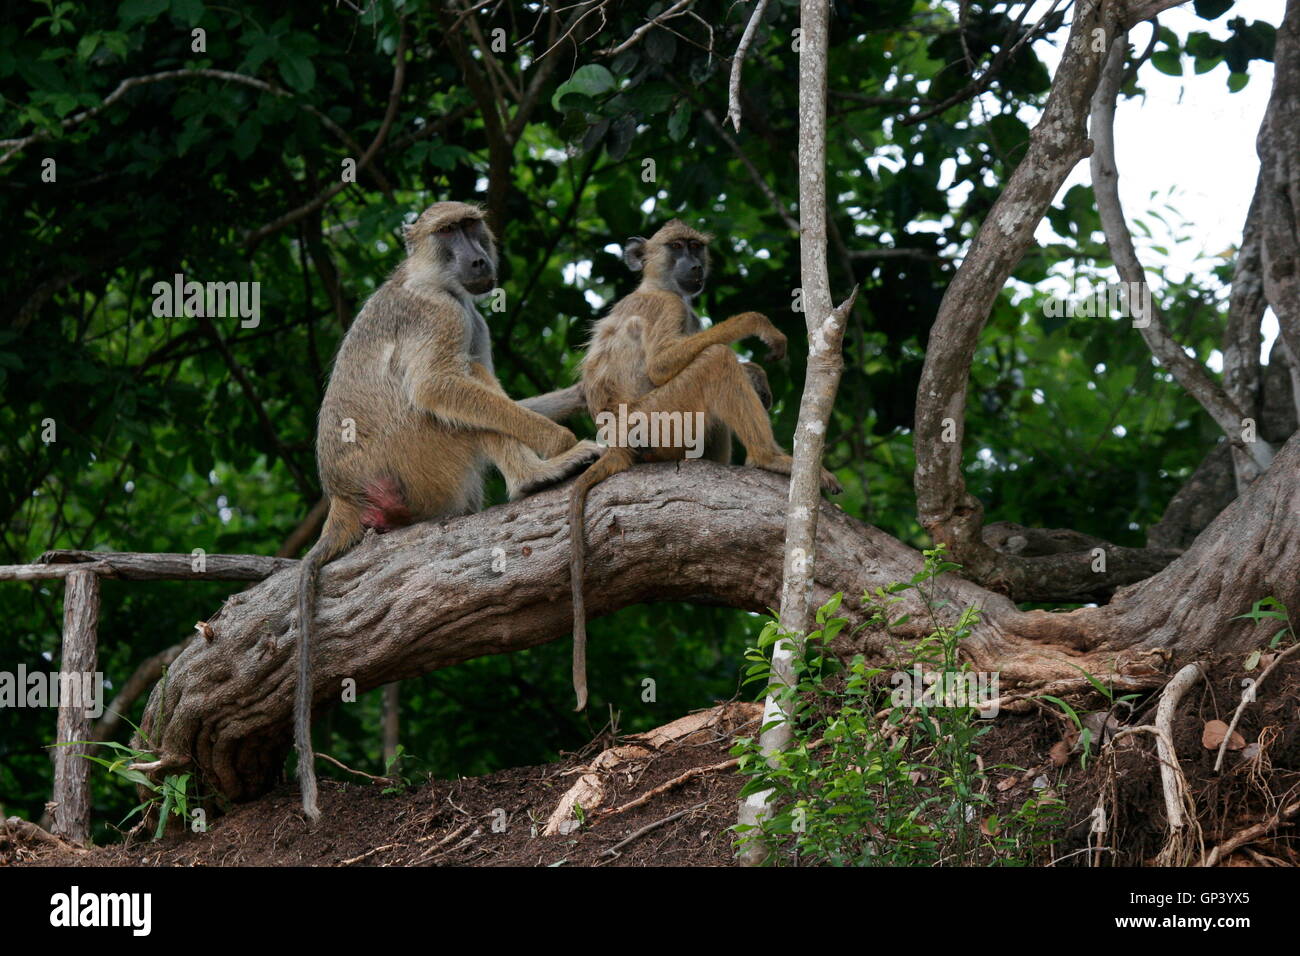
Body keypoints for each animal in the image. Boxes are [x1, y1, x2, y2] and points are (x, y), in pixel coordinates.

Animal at [295, 201, 601, 820]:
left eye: (472, 226)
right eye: (448, 232)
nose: (479, 259)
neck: (432, 279)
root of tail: (343, 496)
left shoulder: (469, 313)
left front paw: (579, 393)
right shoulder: (442, 314)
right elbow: (440, 386)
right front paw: (556, 439)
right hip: (418, 464)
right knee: (452, 402)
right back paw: (536, 476)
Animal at [567, 220, 842, 710]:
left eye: (697, 248)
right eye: (677, 247)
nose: (694, 266)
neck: (655, 283)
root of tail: (615, 443)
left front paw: (758, 374)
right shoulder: (666, 307)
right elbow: (661, 364)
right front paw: (756, 326)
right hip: (657, 424)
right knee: (714, 359)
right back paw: (770, 458)